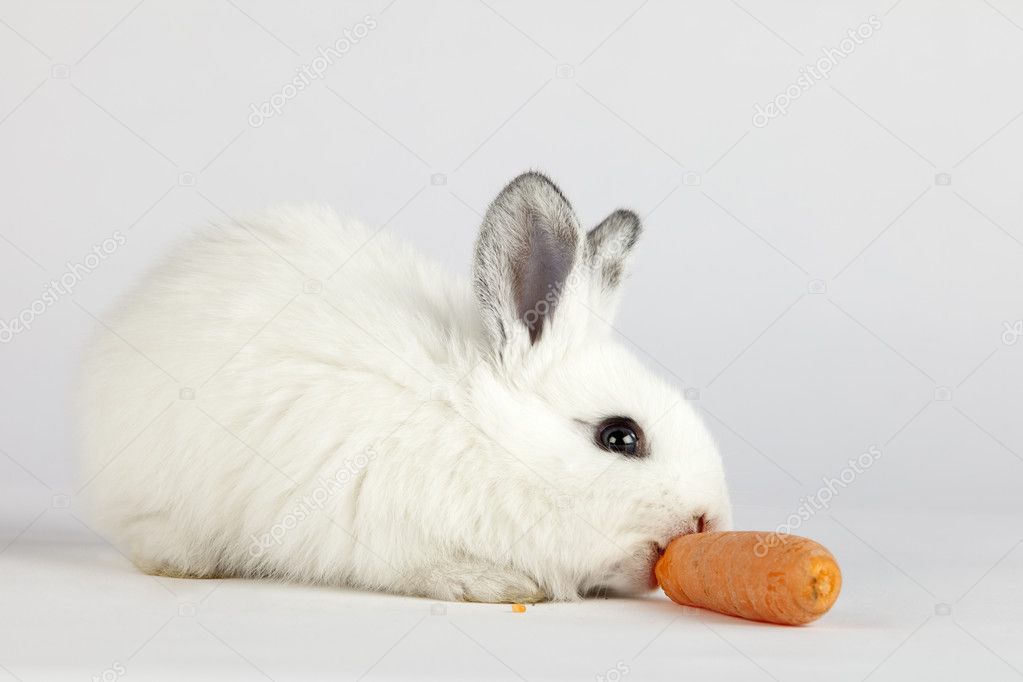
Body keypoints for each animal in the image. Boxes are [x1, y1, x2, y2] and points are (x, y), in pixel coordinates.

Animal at [78, 171, 732, 603]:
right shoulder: (372, 526)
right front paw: (492, 584)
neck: (480, 432)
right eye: (619, 437)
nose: (711, 523)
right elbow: (421, 568)